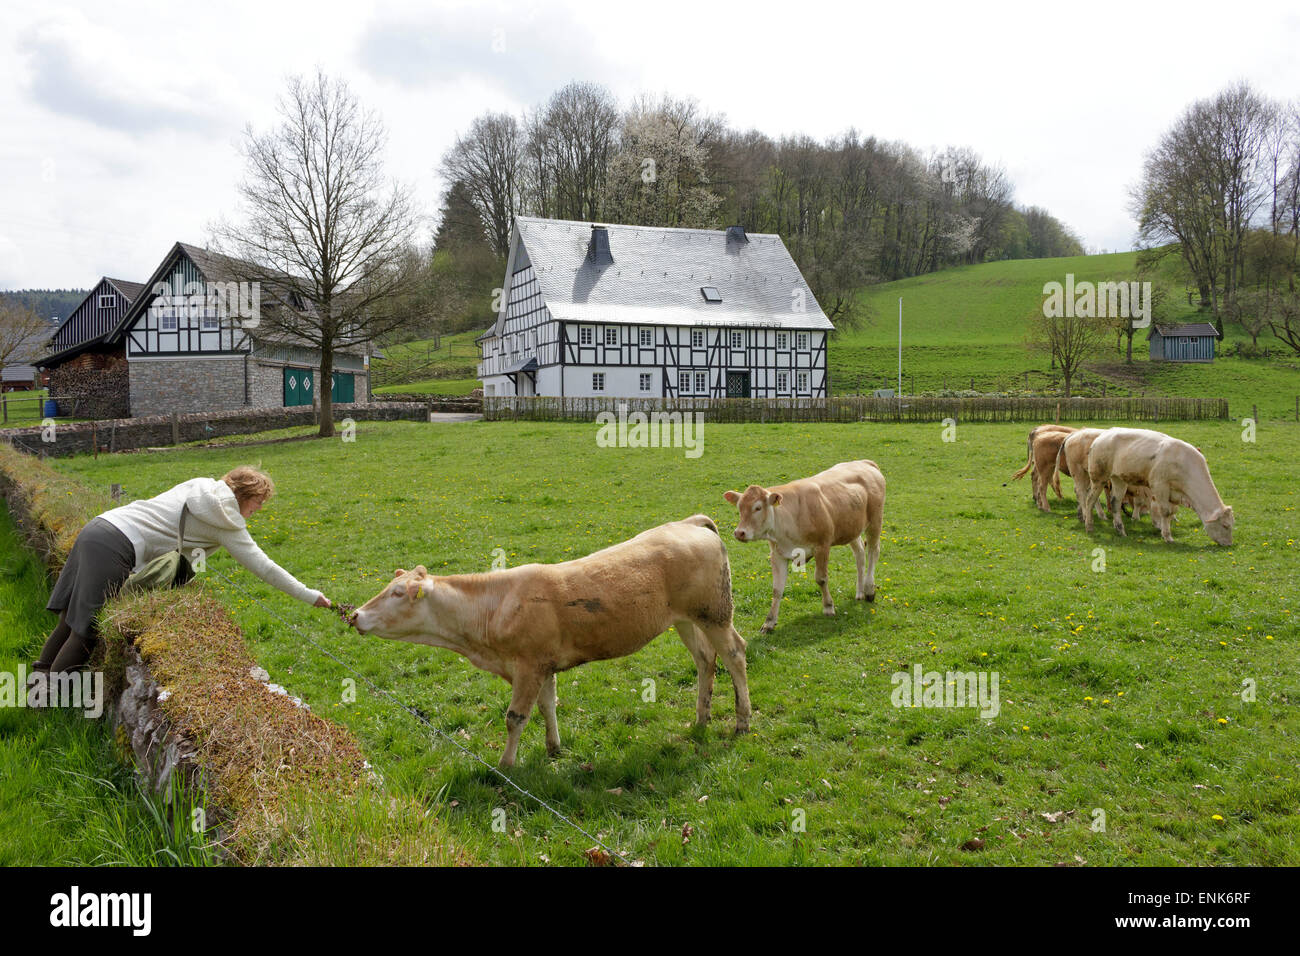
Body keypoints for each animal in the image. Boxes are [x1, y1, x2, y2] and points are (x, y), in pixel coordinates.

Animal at [348, 515, 752, 767]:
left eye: (397, 592)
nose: (354, 615)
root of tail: (689, 523)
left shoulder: (528, 666)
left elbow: (515, 717)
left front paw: (506, 765)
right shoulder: (542, 665)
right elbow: (547, 706)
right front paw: (554, 748)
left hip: (716, 613)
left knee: (734, 654)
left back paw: (742, 723)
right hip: (686, 620)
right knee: (705, 659)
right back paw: (700, 719)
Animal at [723, 460, 886, 634]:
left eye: (758, 507)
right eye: (739, 507)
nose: (739, 532)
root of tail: (865, 462)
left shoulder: (822, 546)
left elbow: (821, 578)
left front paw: (828, 607)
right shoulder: (777, 554)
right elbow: (777, 589)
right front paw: (769, 622)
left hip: (875, 521)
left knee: (873, 552)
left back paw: (869, 590)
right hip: (851, 528)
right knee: (860, 554)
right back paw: (860, 592)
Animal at [1083, 428, 1233, 545]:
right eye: (1225, 525)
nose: (1228, 544)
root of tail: (1101, 436)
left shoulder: (1174, 494)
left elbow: (1172, 512)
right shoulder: (1160, 486)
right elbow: (1165, 512)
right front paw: (1167, 536)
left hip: (1118, 479)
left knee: (1115, 502)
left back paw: (1121, 530)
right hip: (1099, 477)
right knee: (1090, 500)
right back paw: (1089, 526)